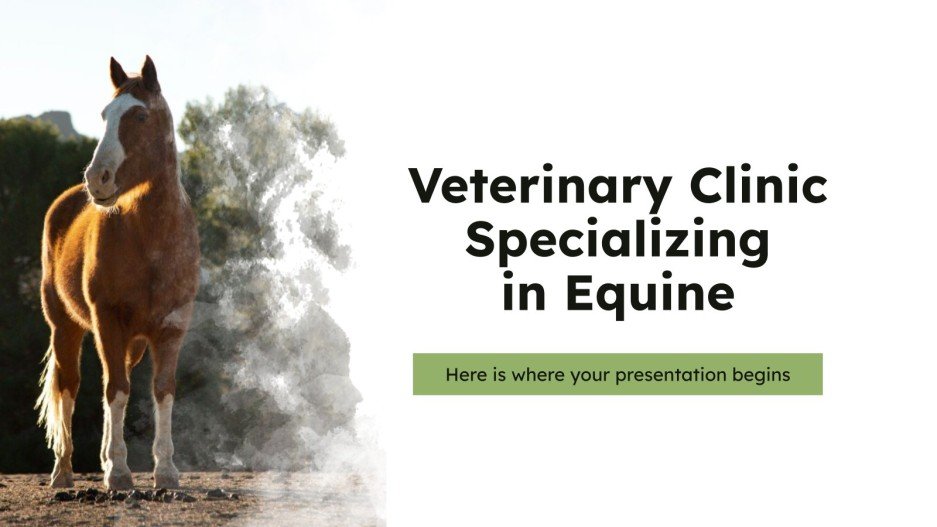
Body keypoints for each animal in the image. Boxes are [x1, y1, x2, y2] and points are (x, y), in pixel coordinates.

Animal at [36, 56, 200, 490]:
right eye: (104, 114)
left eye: (140, 115)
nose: (97, 178)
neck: (153, 240)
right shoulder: (107, 320)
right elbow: (116, 392)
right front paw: (120, 472)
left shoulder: (171, 328)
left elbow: (161, 391)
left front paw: (165, 471)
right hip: (65, 327)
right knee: (70, 386)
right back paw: (63, 471)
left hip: (132, 343)